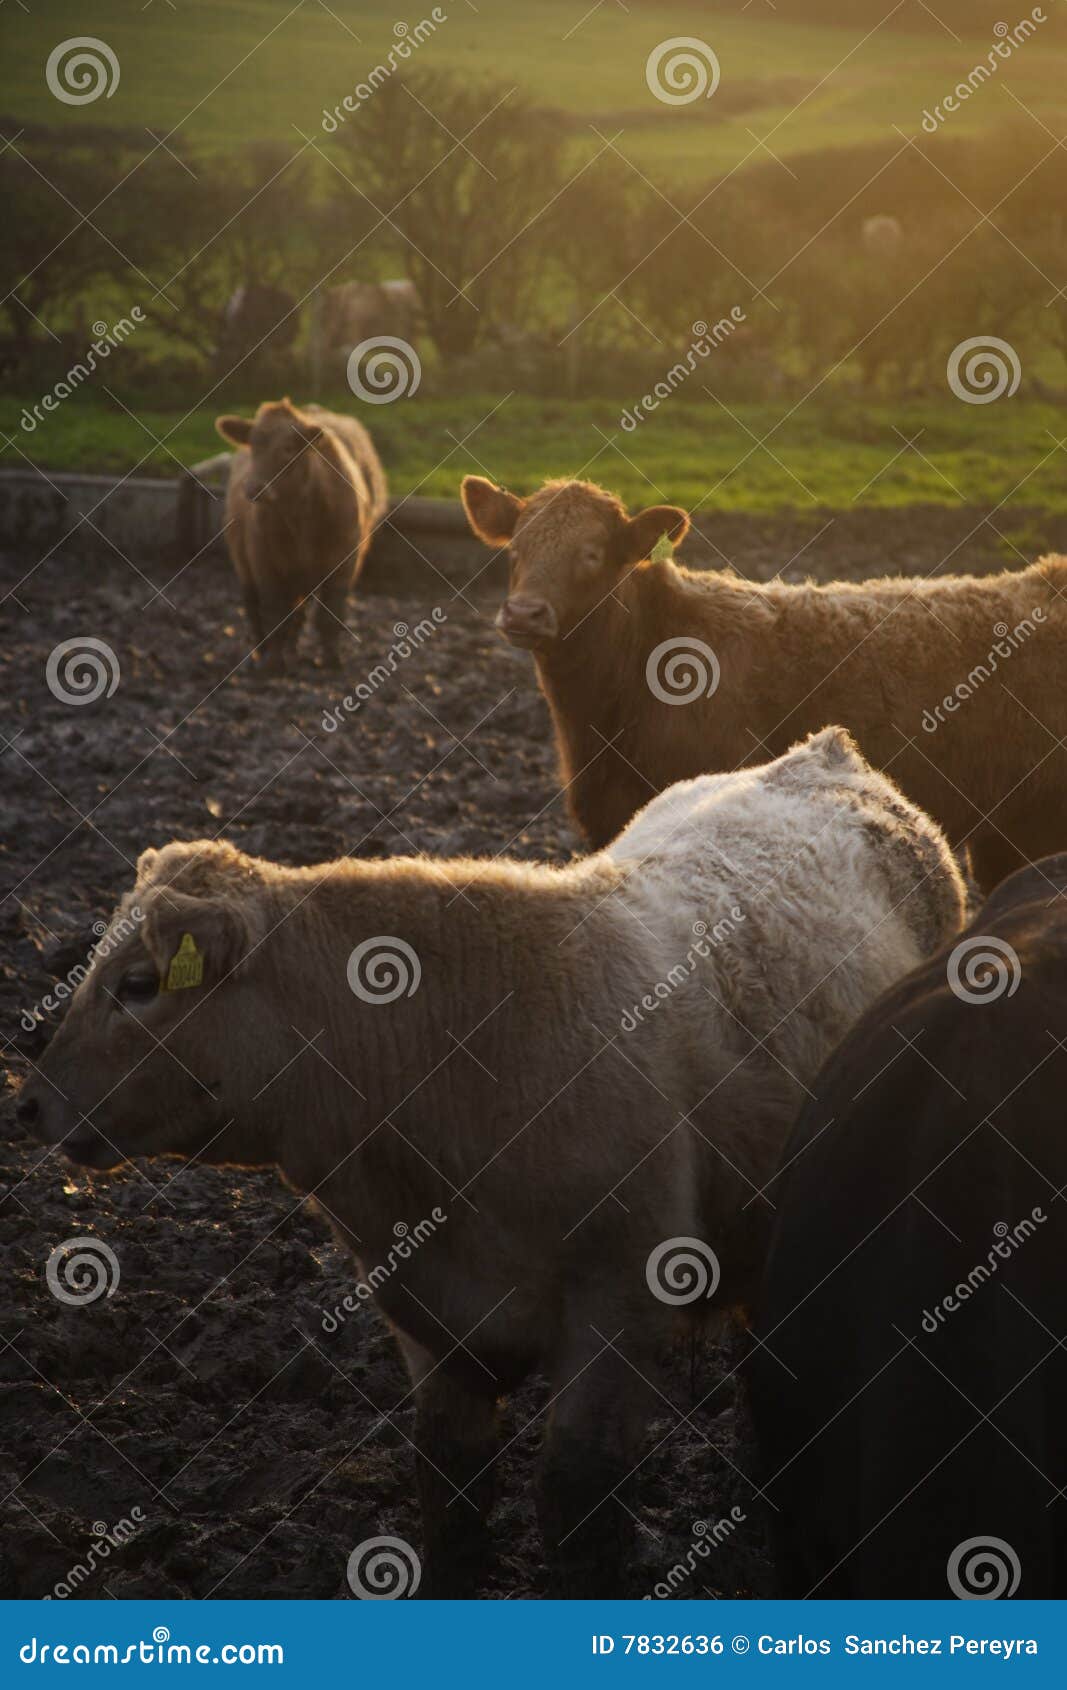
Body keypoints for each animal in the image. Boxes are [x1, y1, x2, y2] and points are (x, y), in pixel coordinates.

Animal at [16, 729, 966, 1597]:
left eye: (140, 984)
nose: (32, 1103)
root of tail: (820, 751)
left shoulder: (618, 1306)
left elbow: (576, 1501)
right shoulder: (425, 1319)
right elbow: (452, 1496)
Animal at [214, 398, 387, 674]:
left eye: (288, 448)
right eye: (253, 445)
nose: (253, 487)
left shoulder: (345, 563)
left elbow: (330, 614)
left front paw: (332, 658)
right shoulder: (264, 561)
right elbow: (274, 611)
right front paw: (273, 662)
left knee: (298, 612)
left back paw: (293, 650)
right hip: (244, 562)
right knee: (254, 606)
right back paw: (262, 651)